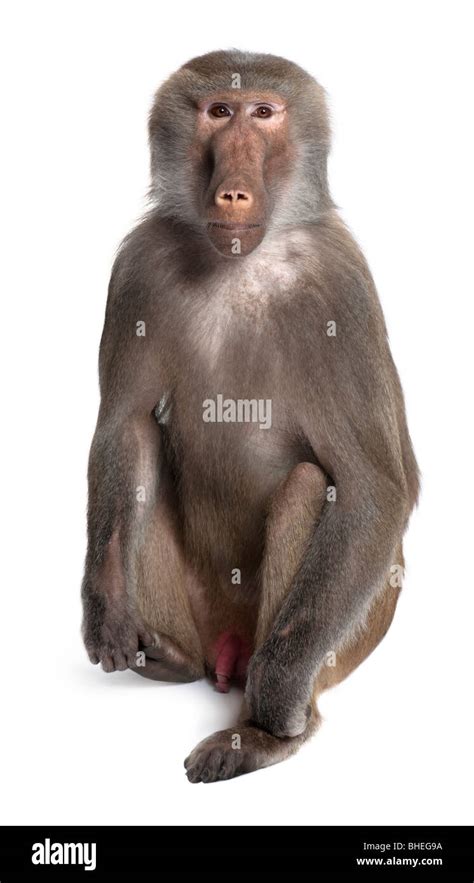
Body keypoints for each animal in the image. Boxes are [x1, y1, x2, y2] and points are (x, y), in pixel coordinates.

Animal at [81, 50, 419, 783]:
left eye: (264, 113)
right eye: (218, 112)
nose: (233, 193)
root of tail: (225, 653)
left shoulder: (343, 285)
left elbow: (374, 488)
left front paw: (271, 711)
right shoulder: (139, 265)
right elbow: (123, 427)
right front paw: (104, 612)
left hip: (355, 626)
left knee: (310, 487)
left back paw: (267, 724)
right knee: (146, 451)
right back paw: (169, 658)